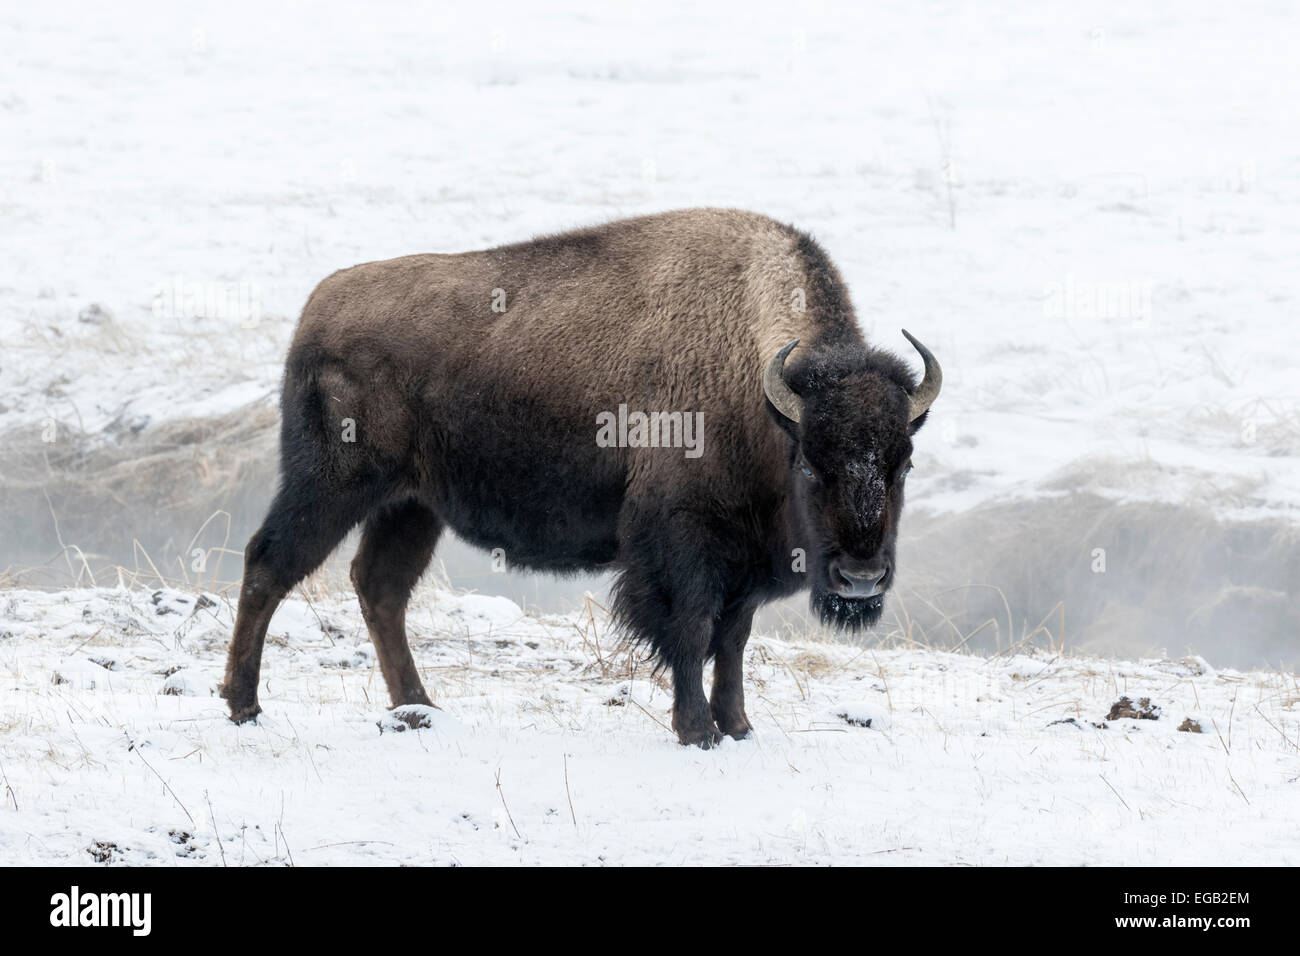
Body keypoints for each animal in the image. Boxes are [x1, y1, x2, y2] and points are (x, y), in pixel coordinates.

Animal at [220, 208, 941, 747]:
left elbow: (732, 642)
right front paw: (698, 732)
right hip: (332, 484)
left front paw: (738, 726)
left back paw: (418, 708)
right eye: (811, 463)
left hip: (410, 505)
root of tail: (318, 308)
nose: (861, 577)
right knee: (270, 563)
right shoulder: (682, 545)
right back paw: (244, 706)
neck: (761, 390)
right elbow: (691, 631)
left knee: (380, 588)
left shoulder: (742, 562)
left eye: (903, 462)